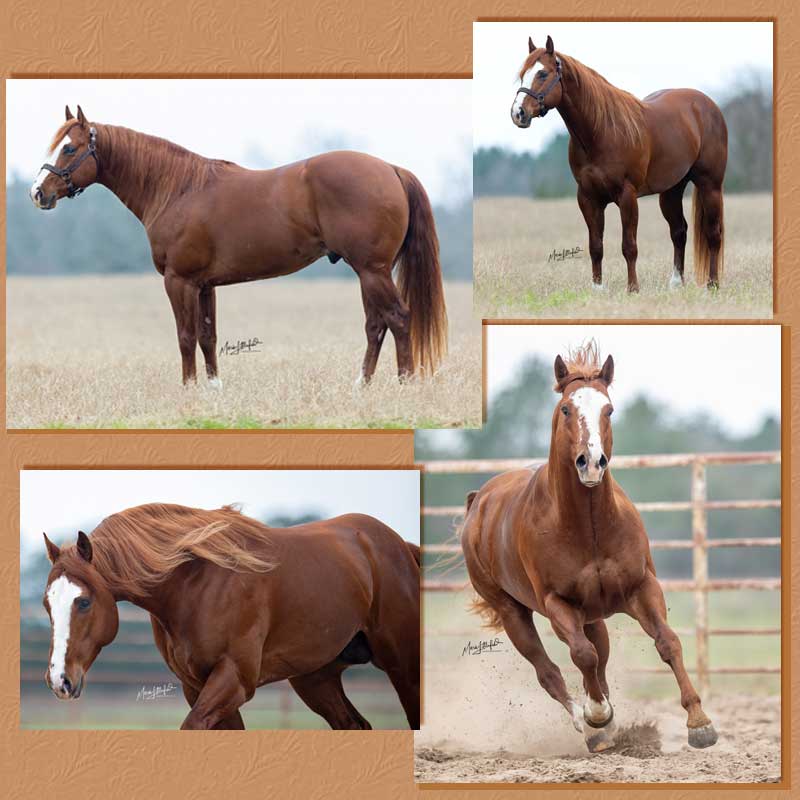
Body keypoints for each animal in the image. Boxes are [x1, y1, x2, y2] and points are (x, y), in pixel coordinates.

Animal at [29, 106, 447, 386]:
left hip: (372, 270)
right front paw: (213, 390)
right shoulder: (204, 286)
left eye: (69, 149)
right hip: (368, 272)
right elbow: (207, 336)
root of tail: (390, 168)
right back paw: (361, 385)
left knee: (398, 318)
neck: (178, 188)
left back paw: (405, 384)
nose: (38, 193)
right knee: (376, 324)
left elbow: (185, 337)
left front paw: (189, 390)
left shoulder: (178, 281)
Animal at [41, 503, 420, 730]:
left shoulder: (233, 680)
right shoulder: (197, 687)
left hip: (403, 665)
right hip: (315, 679)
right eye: (47, 604)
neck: (192, 585)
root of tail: (400, 544)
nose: (60, 681)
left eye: (83, 602)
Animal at [460, 343, 717, 752]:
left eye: (608, 409)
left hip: (594, 616)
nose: (591, 462)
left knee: (600, 661)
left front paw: (699, 722)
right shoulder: (557, 604)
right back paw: (592, 728)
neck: (589, 527)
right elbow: (581, 655)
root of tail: (478, 501)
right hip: (512, 613)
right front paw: (595, 716)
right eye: (567, 408)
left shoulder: (641, 587)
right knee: (551, 672)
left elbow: (667, 642)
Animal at [511, 36, 727, 292]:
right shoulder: (588, 198)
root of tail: (706, 104)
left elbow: (629, 246)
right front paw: (597, 289)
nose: (518, 113)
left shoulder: (627, 196)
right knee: (679, 232)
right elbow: (596, 247)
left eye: (543, 73)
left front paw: (633, 288)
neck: (601, 131)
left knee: (713, 234)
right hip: (671, 191)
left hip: (710, 185)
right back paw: (676, 284)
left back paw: (713, 284)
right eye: (522, 74)